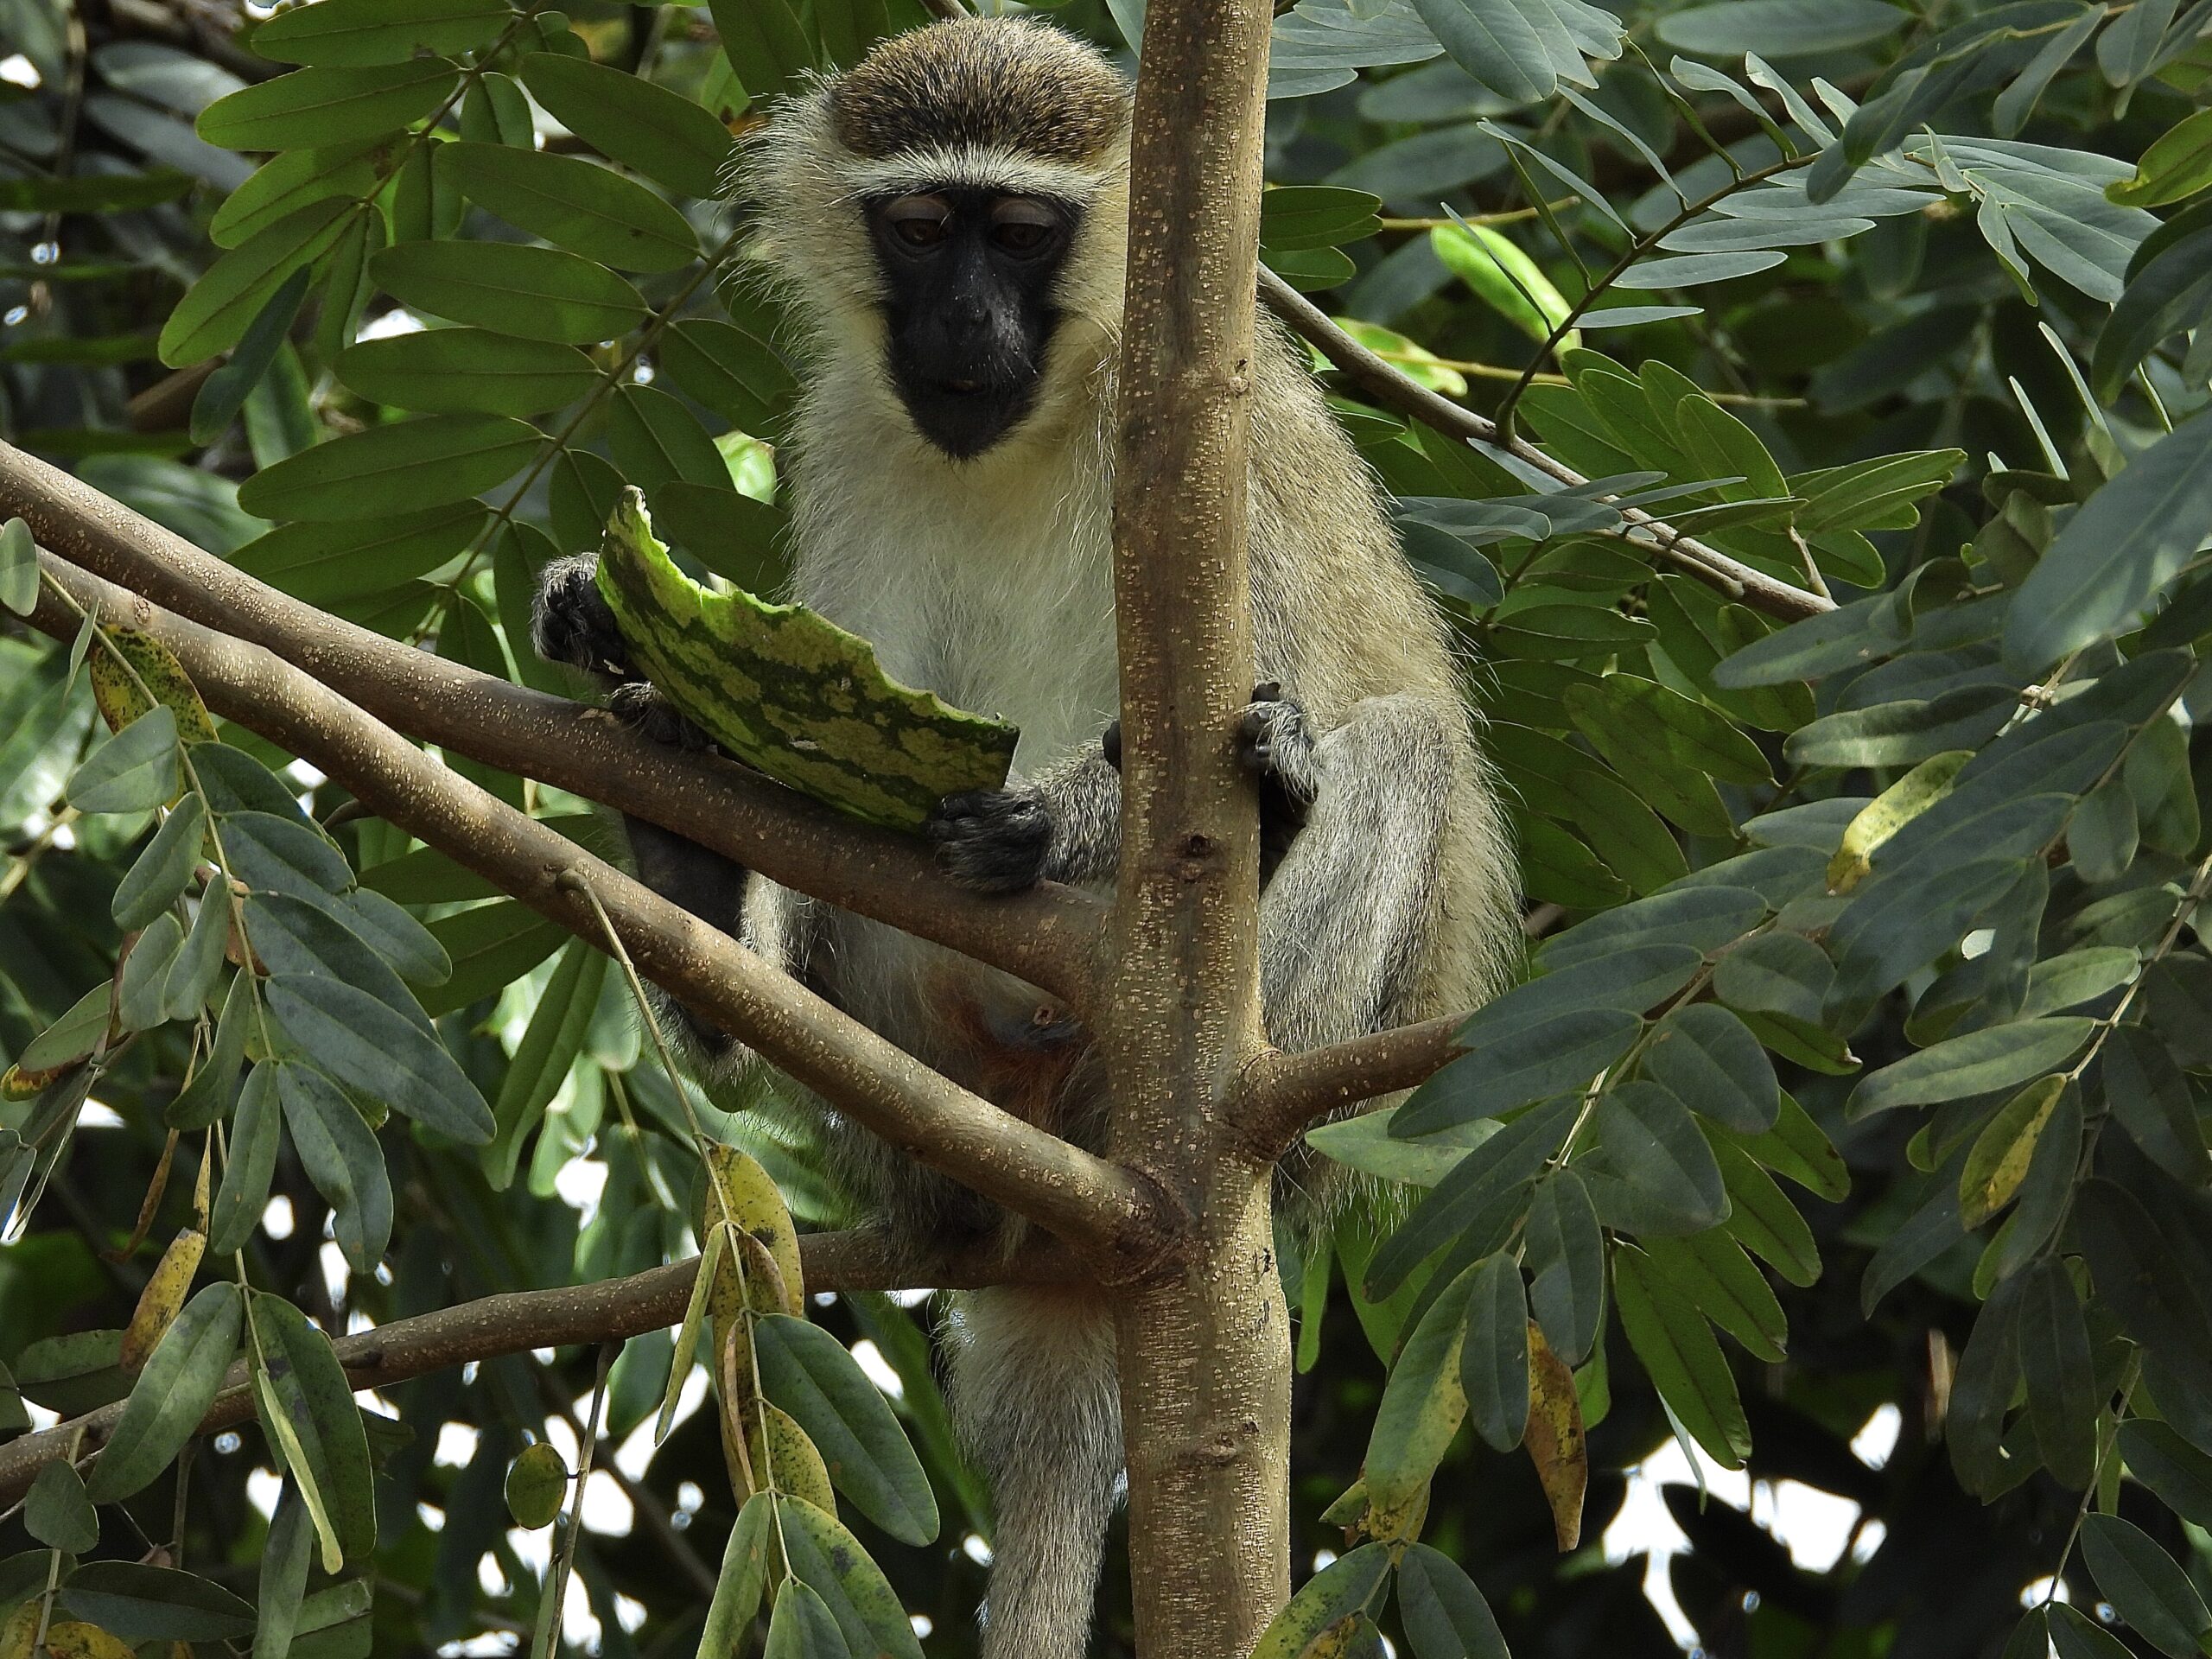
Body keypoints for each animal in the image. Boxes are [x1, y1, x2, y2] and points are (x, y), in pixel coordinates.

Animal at [531, 18, 1518, 1657]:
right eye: (926, 231)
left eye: (1023, 235)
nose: (968, 321)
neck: (1036, 425)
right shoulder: (850, 436)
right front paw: (622, 643)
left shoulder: (1212, 443)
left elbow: (1294, 685)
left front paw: (1061, 817)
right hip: (908, 1097)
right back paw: (703, 901)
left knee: (1402, 751)